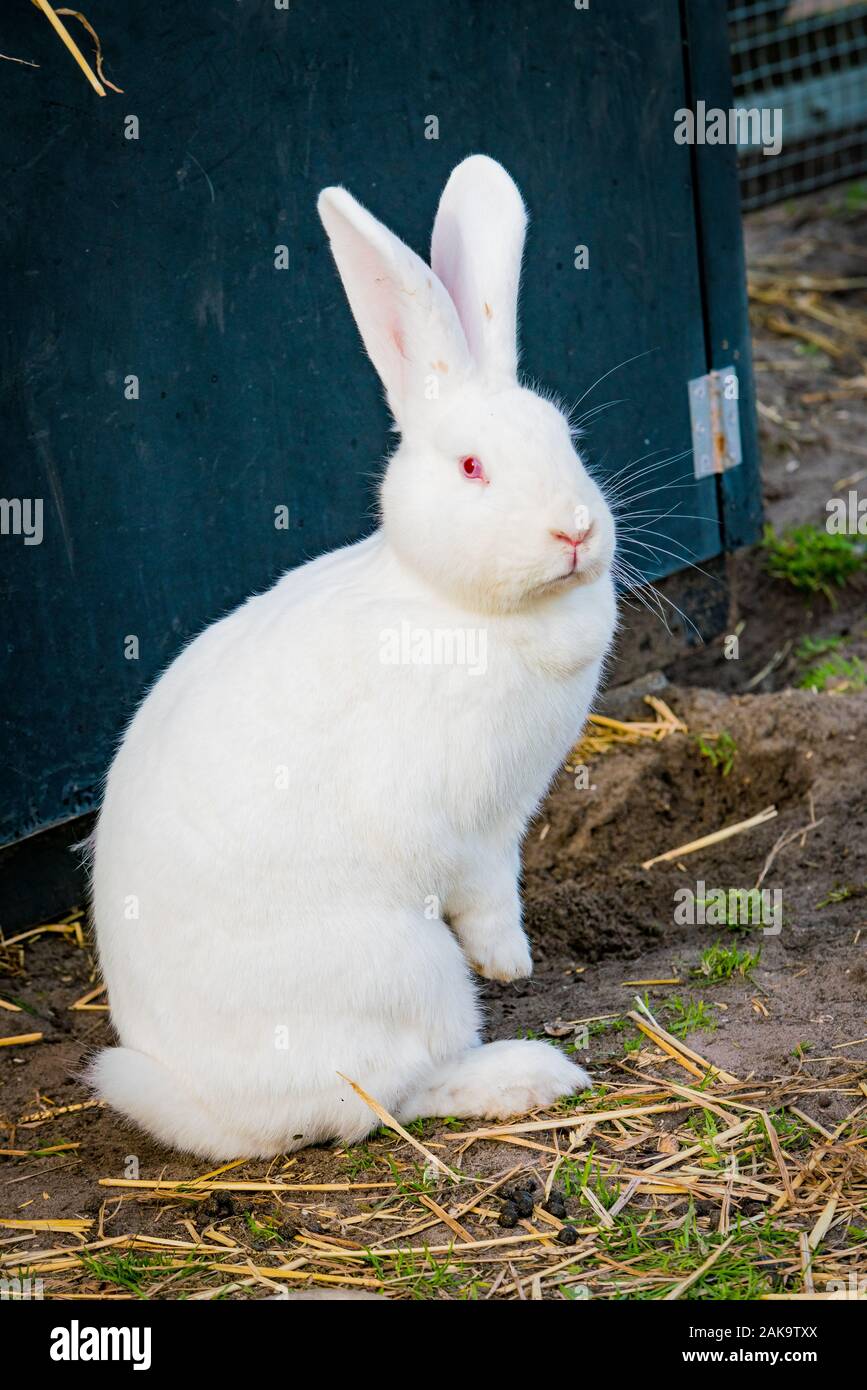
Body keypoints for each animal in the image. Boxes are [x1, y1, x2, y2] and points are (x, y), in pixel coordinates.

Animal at [89, 154, 618, 1159]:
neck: (456, 604)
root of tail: (211, 1110)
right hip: (407, 967)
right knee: (388, 1097)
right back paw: (528, 1074)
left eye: (568, 440)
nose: (574, 532)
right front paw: (513, 963)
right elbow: (486, 897)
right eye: (471, 468)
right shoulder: (465, 831)